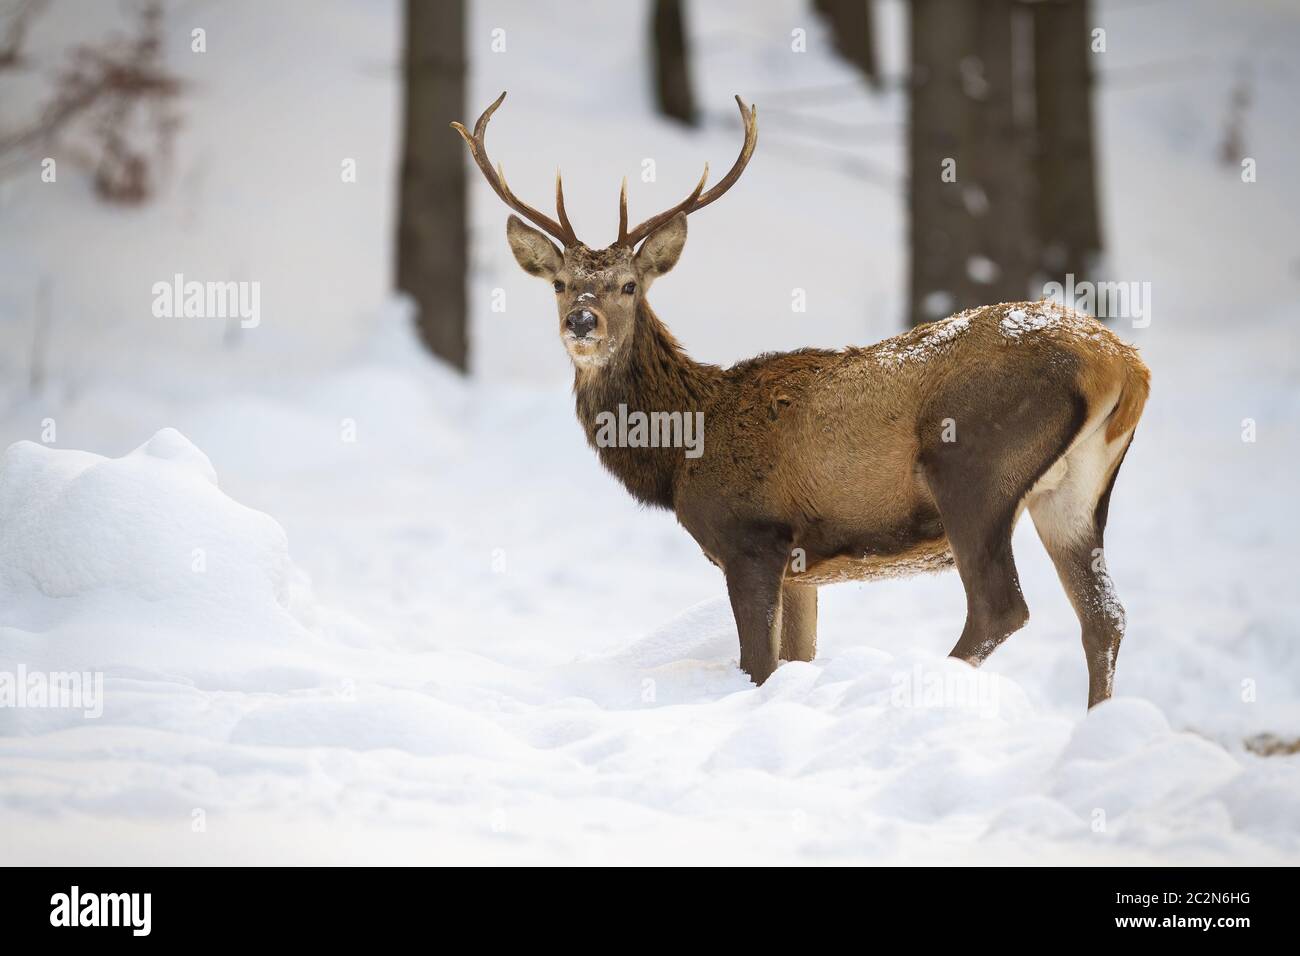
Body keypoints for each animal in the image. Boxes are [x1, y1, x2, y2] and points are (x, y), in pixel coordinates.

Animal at [452, 93, 1151, 708]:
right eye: (560, 283)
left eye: (628, 285)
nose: (582, 322)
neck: (682, 453)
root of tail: (1121, 364)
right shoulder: (805, 569)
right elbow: (796, 660)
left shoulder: (752, 538)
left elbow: (758, 667)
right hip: (1074, 492)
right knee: (1104, 617)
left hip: (973, 469)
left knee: (1001, 608)